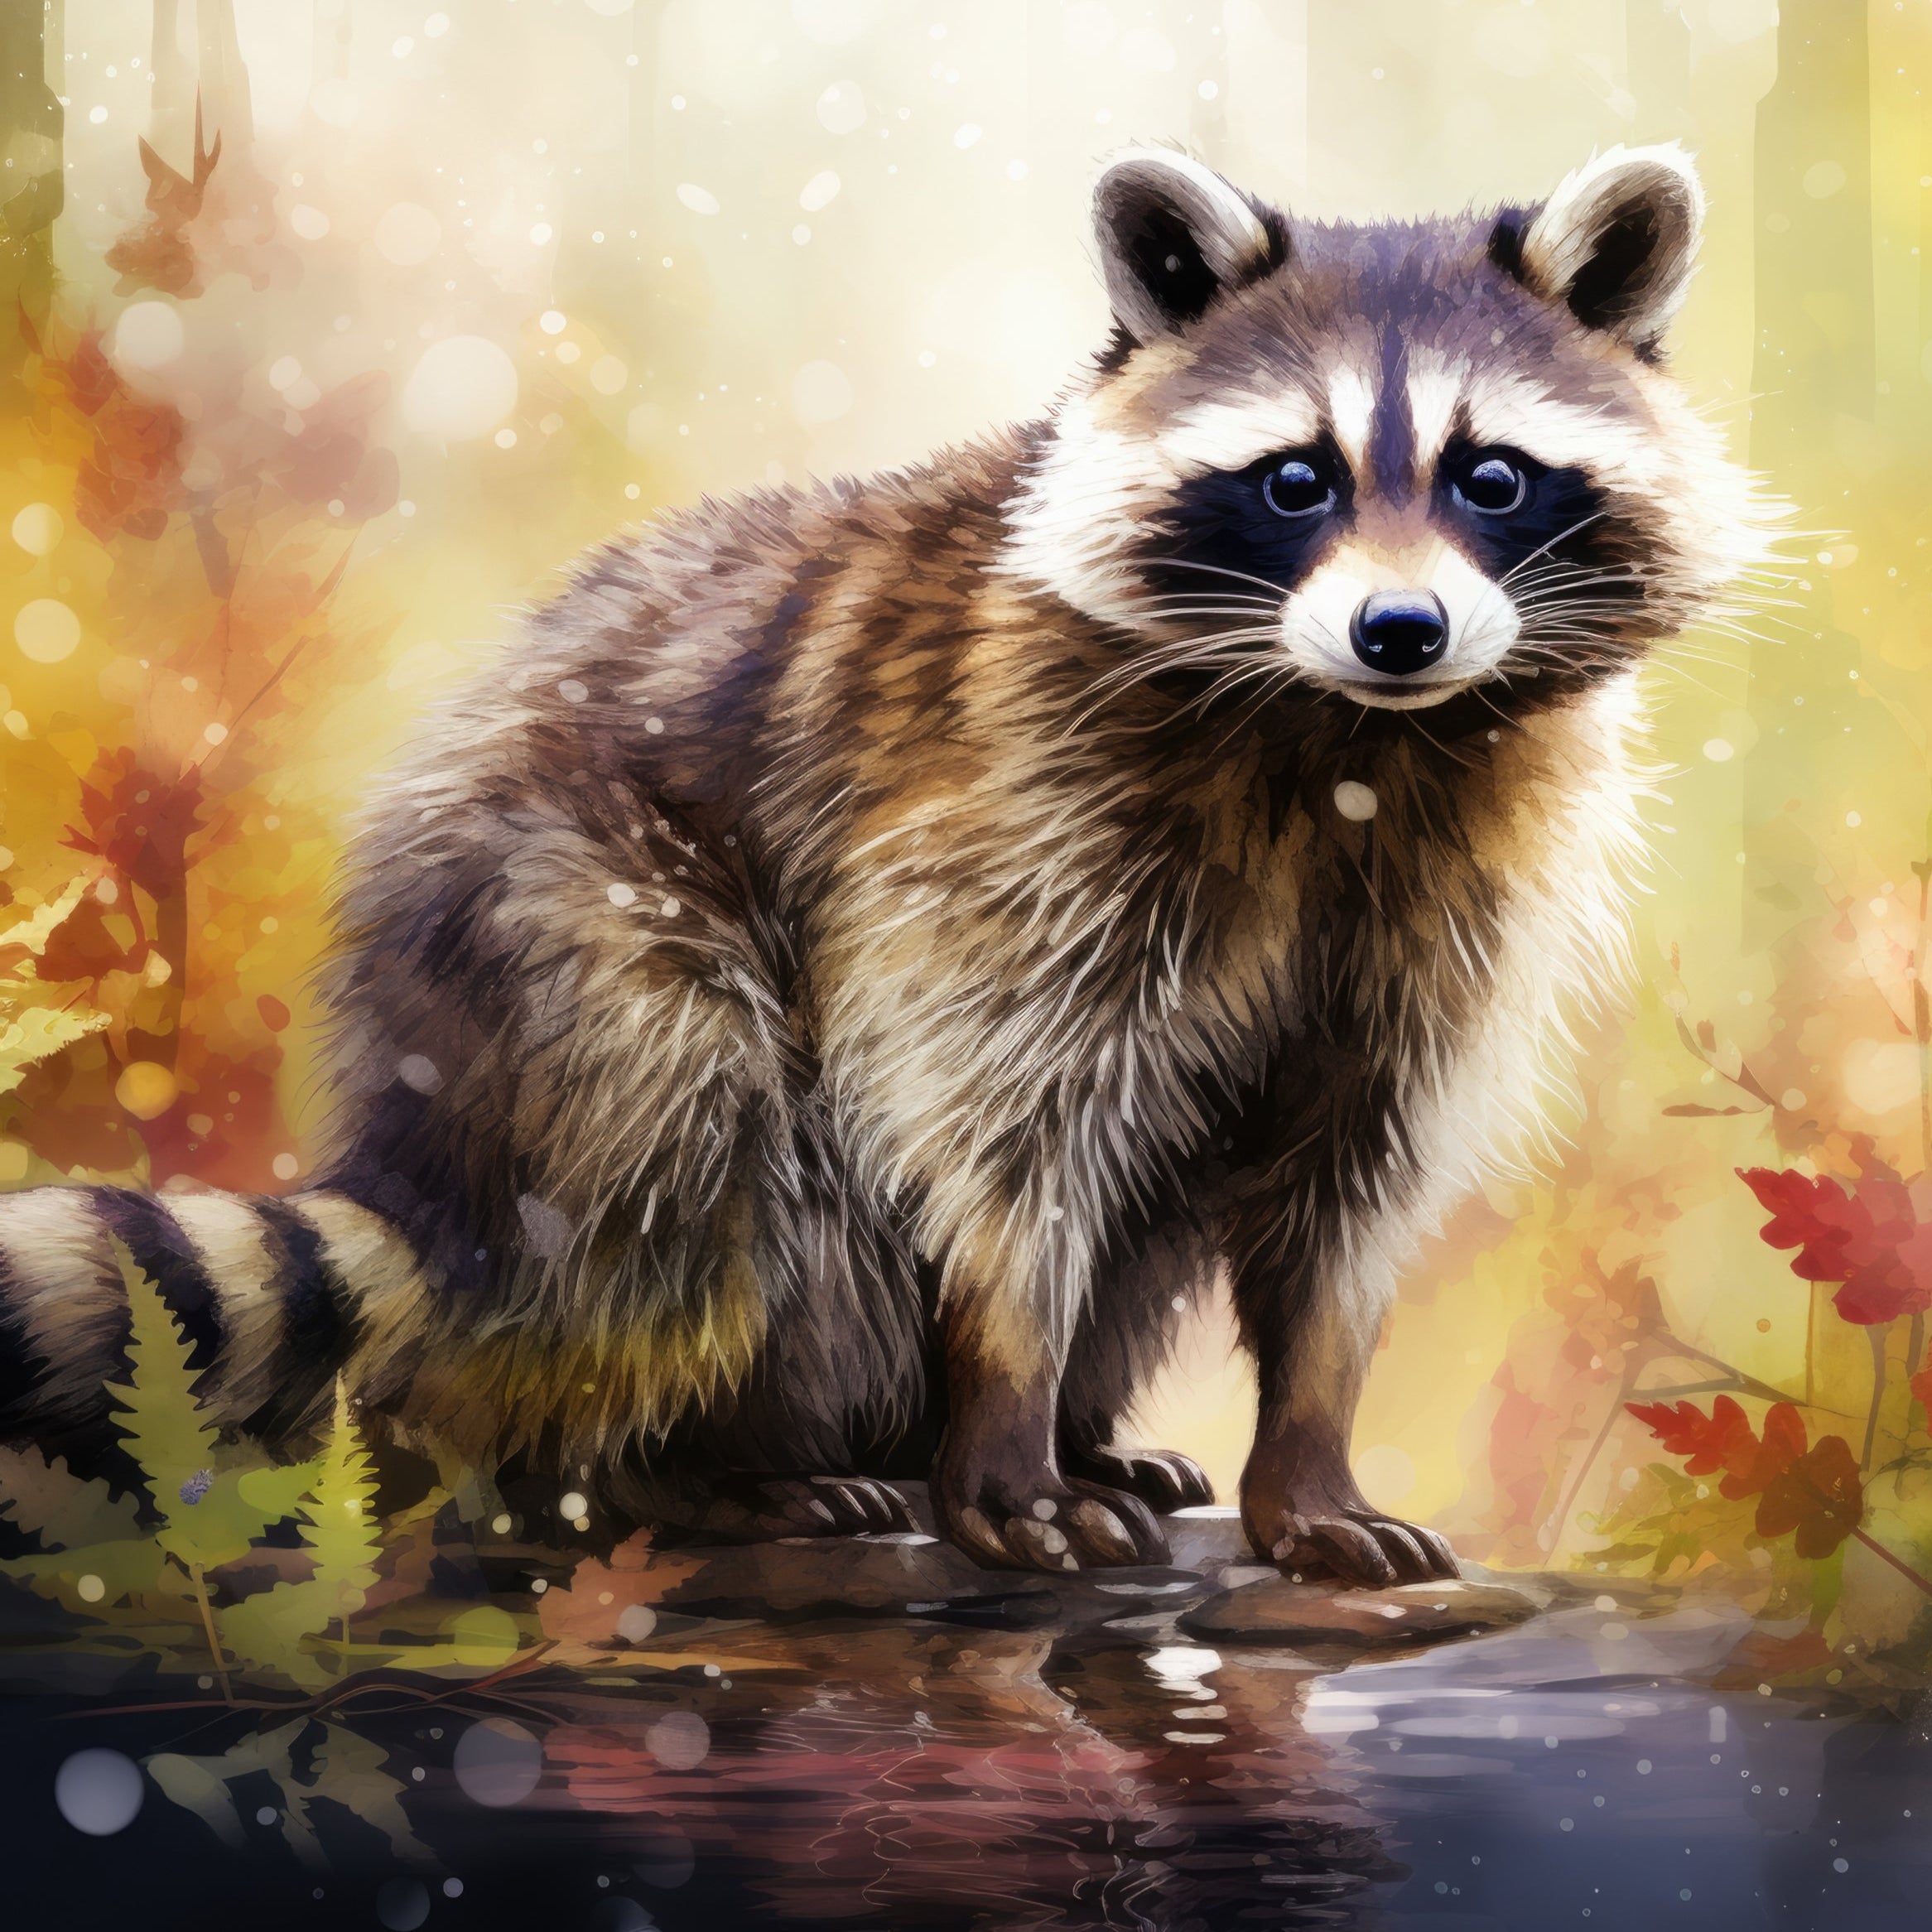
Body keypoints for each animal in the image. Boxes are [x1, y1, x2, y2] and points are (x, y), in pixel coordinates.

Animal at [0, 144, 1771, 1585]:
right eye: (1294, 478)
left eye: (1491, 474)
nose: (1398, 628)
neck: (1344, 734)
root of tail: (422, 1149)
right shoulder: (1001, 821)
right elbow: (994, 1136)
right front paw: (1004, 1419)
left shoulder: (1442, 905)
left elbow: (1352, 1173)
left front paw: (1305, 1454)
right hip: (557, 938)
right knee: (677, 1164)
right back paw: (682, 1466)